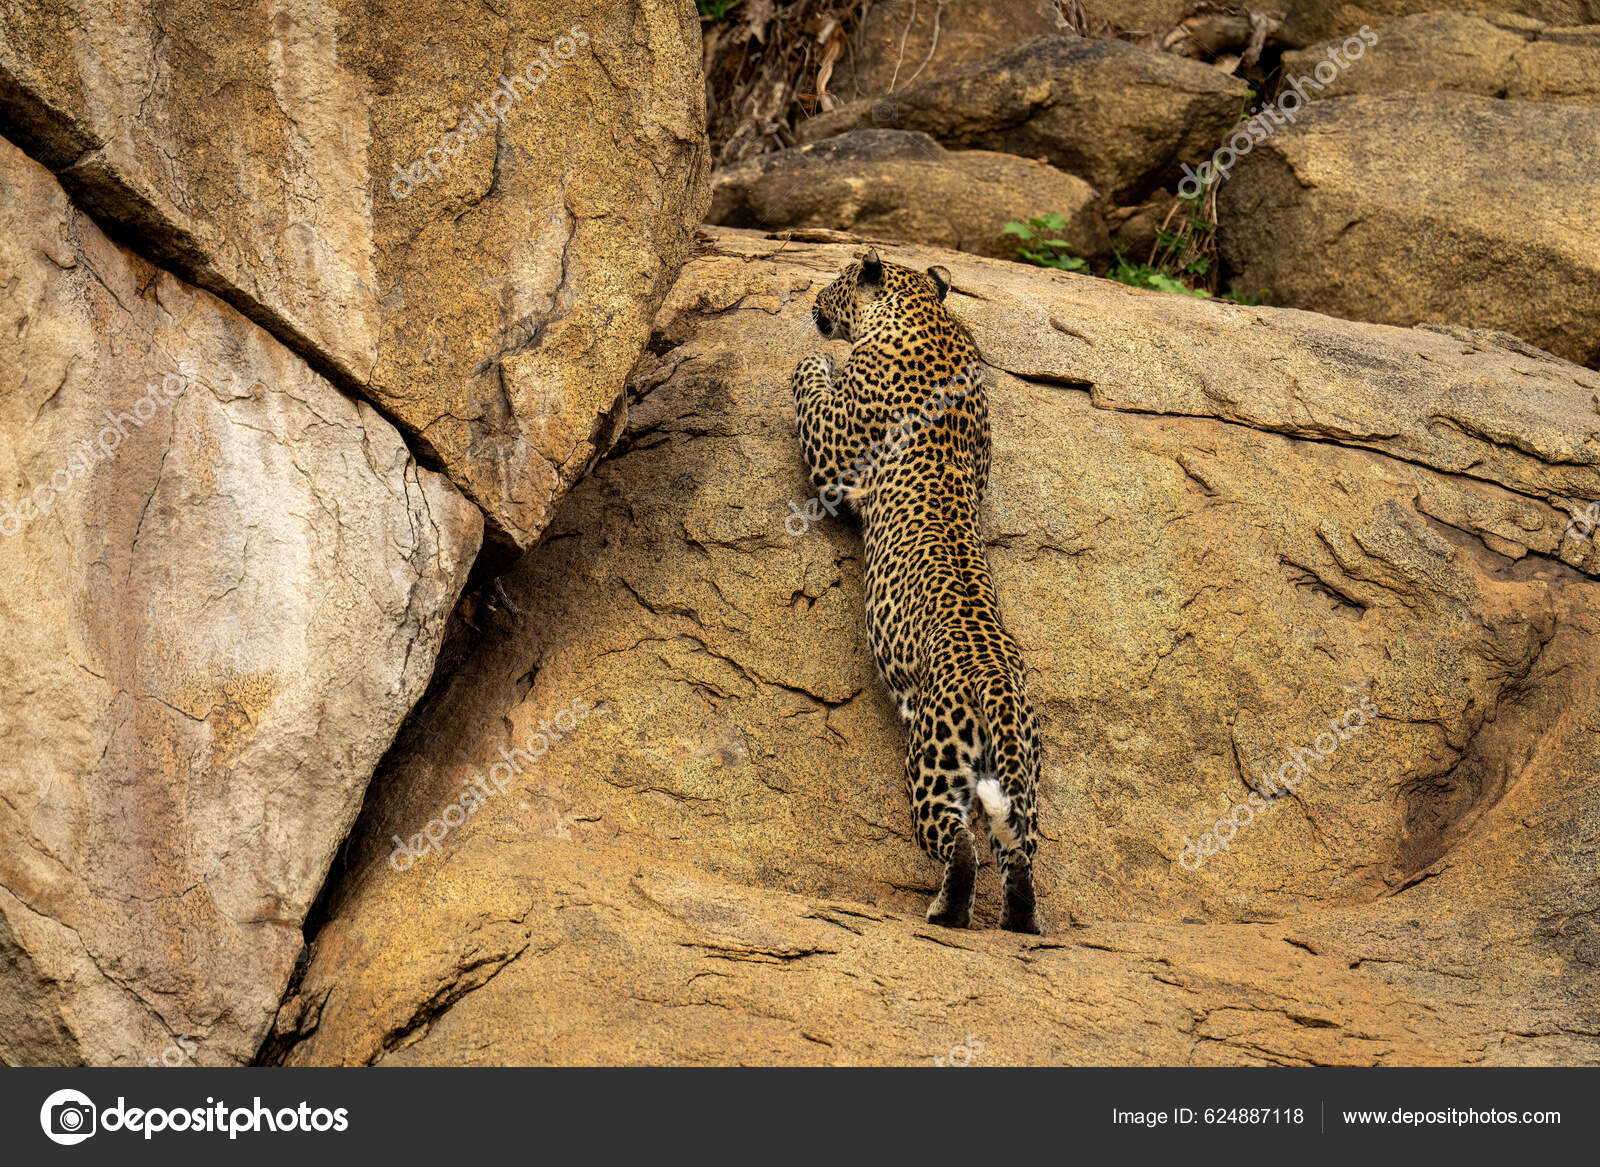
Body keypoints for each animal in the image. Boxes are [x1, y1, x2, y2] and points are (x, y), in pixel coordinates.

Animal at [789, 248, 1043, 934]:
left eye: (836, 280)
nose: (812, 299)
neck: (925, 312)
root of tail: (994, 684)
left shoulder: (835, 454)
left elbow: (808, 384)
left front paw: (813, 357)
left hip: (936, 762)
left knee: (961, 846)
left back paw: (944, 913)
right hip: (1022, 772)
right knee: (1018, 853)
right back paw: (1021, 926)